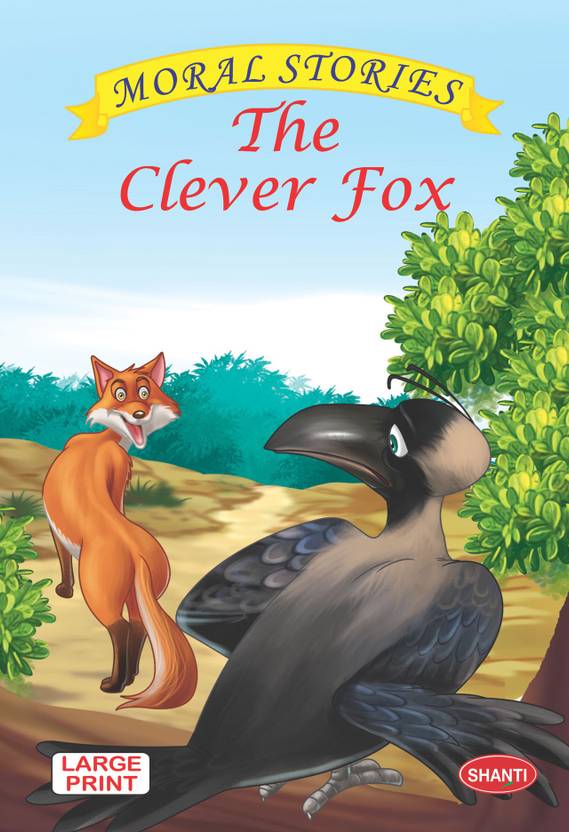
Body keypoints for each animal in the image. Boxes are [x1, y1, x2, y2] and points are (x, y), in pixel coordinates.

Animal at [42, 353, 198, 710]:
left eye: (144, 393)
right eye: (121, 394)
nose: (139, 413)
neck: (102, 442)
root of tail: (135, 550)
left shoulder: (56, 529)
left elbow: (63, 561)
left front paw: (63, 590)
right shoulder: (119, 473)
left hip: (100, 595)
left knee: (121, 628)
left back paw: (114, 684)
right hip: (136, 595)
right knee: (139, 627)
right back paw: (132, 677)